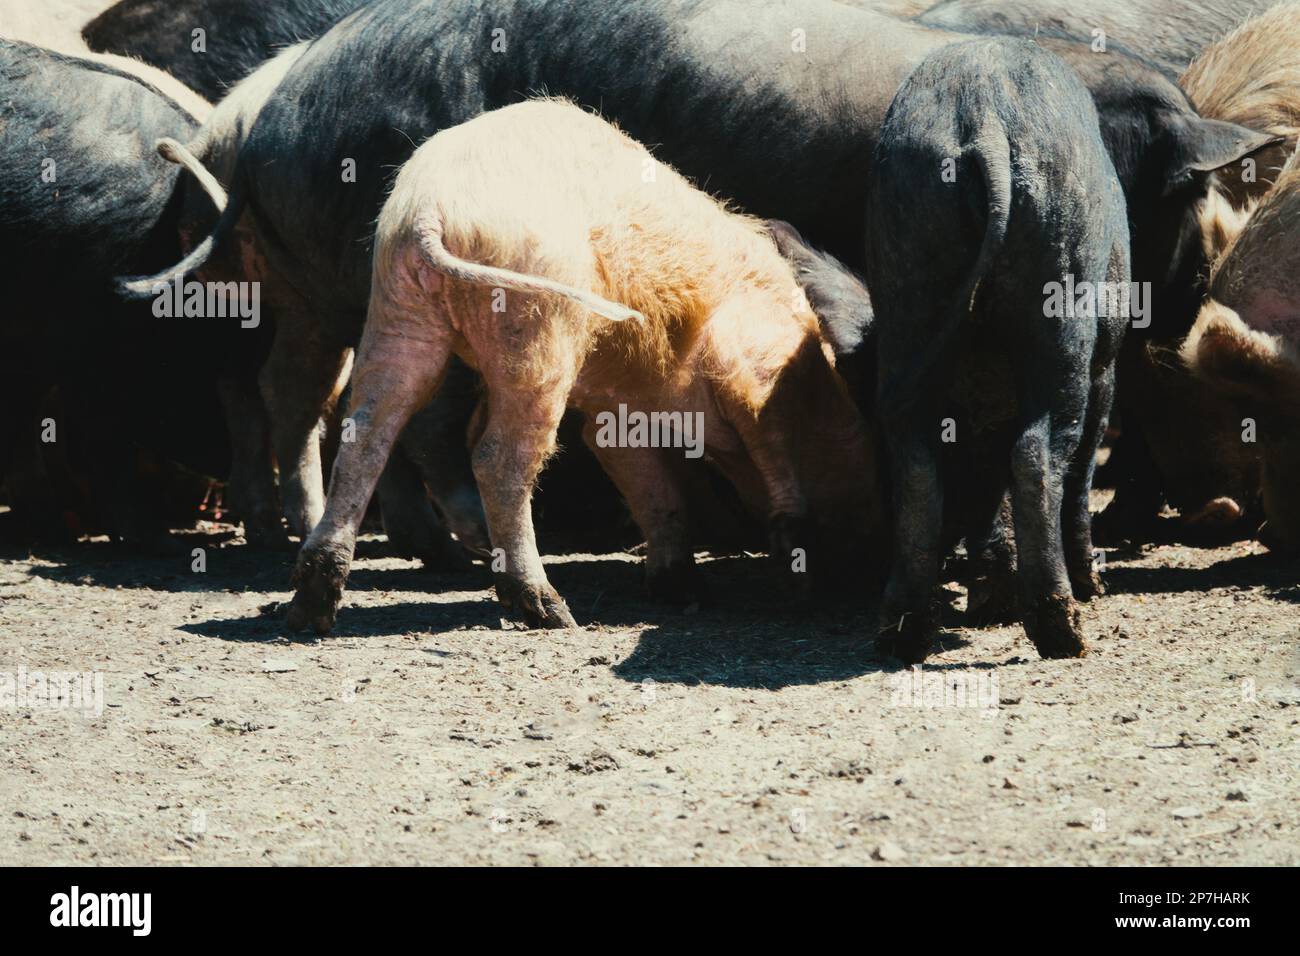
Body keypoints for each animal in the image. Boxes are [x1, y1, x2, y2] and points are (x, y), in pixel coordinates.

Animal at [121, 0, 1272, 567]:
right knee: (379, 413)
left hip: (332, 288)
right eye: (1184, 198)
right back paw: (431, 544)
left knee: (325, 398)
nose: (1184, 311)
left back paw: (363, 539)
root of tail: (268, 111)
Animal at [286, 99, 879, 634]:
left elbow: (648, 483)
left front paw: (682, 589)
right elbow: (763, 448)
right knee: (499, 458)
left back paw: (312, 612)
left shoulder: (614, 406)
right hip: (537, 322)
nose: (855, 573)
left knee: (366, 434)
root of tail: (431, 207)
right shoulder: (749, 366)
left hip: (398, 303)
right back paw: (551, 612)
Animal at [868, 38, 1130, 662]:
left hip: (907, 274)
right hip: (1060, 302)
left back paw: (900, 635)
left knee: (913, 454)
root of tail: (983, 123)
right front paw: (1093, 587)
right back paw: (1065, 633)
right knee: (1041, 452)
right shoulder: (1108, 362)